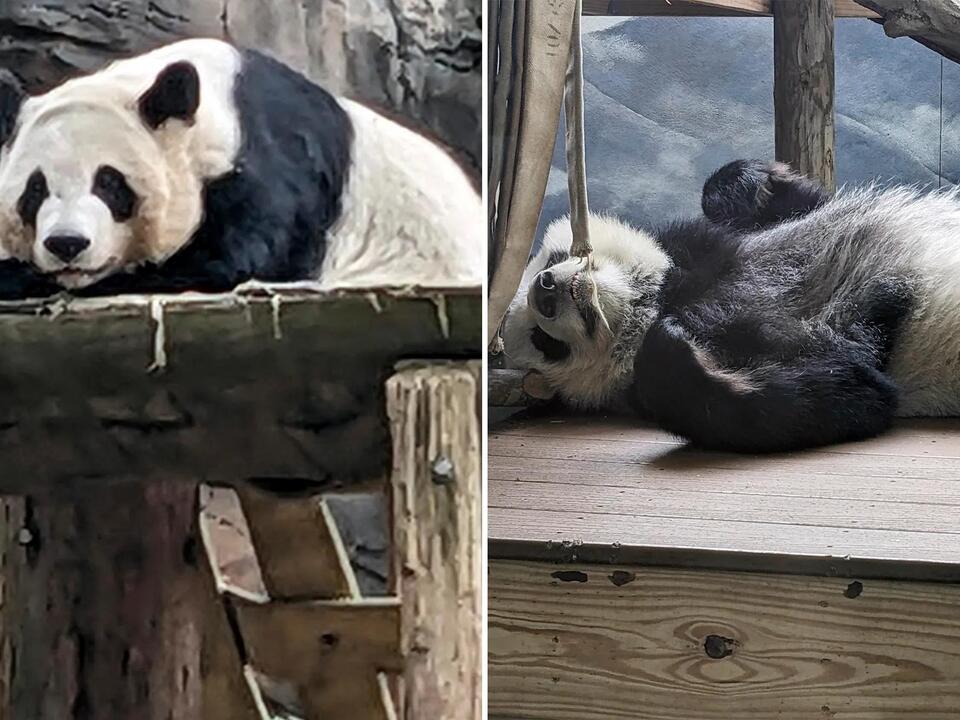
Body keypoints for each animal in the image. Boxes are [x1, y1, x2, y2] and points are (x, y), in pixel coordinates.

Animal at [502, 159, 960, 453]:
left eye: (553, 256)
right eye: (545, 342)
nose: (544, 290)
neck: (658, 298)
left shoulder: (702, 245)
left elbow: (806, 204)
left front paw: (751, 182)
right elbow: (841, 399)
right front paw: (671, 345)